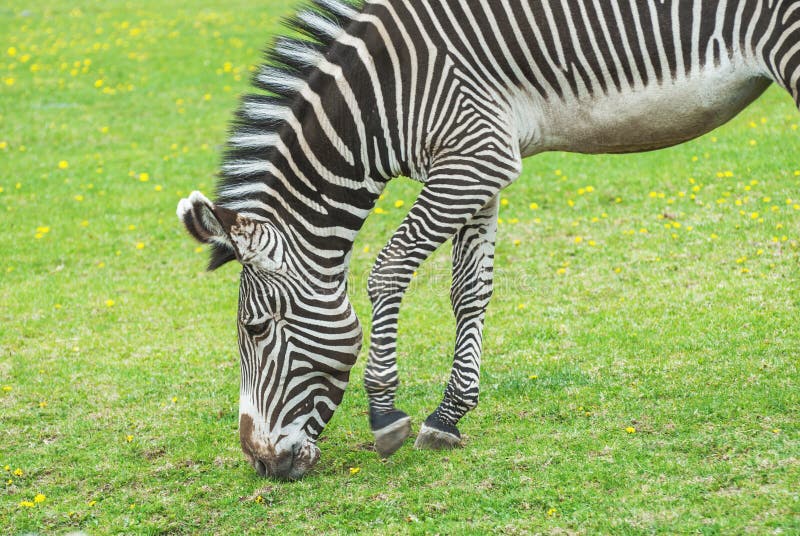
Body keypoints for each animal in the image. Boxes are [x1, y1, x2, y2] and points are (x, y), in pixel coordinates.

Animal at [178, 0, 800, 480]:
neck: (384, 98)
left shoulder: (474, 157)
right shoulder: (475, 167)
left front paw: (386, 413)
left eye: (256, 329)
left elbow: (390, 267)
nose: (261, 464)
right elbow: (469, 291)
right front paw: (448, 416)